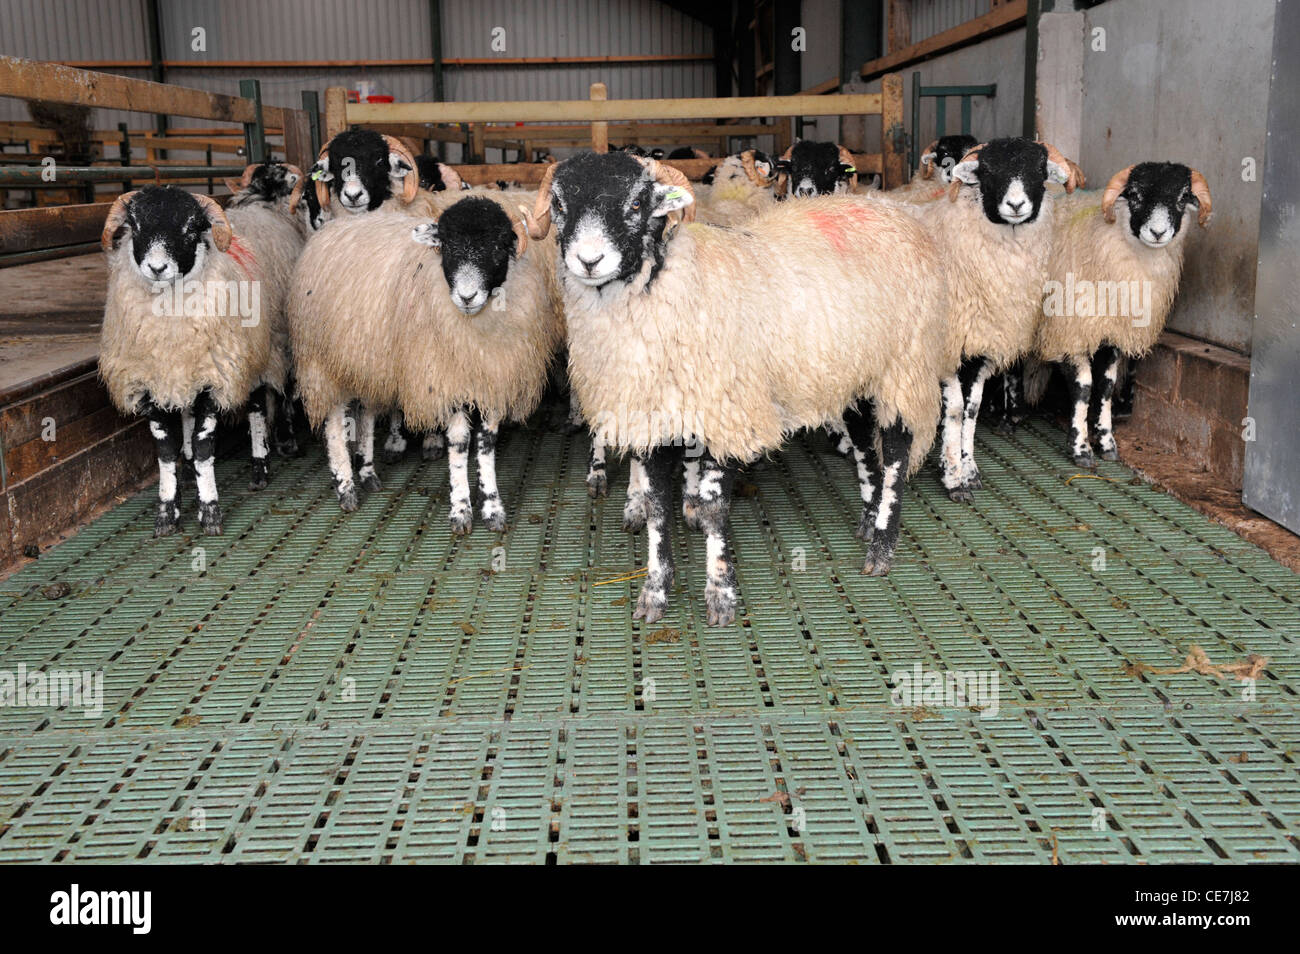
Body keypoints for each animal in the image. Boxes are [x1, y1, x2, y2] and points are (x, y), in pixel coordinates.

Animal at [97, 186, 289, 535]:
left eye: (189, 227)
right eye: (136, 225)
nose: (157, 267)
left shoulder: (214, 379)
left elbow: (203, 449)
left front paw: (210, 512)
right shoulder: (151, 384)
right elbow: (165, 453)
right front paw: (167, 511)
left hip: (259, 356)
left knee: (256, 408)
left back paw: (260, 468)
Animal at [288, 192, 561, 532]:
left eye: (498, 247)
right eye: (447, 246)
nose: (467, 297)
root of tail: (332, 229)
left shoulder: (493, 378)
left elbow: (486, 444)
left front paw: (492, 507)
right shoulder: (446, 377)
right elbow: (459, 443)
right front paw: (461, 509)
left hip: (366, 361)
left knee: (365, 414)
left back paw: (368, 473)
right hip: (324, 360)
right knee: (335, 422)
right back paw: (346, 487)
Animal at [522, 152, 952, 625]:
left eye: (636, 203)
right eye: (559, 204)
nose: (589, 260)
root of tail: (890, 210)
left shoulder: (726, 414)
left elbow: (713, 510)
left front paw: (721, 595)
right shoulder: (650, 415)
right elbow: (656, 507)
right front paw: (654, 592)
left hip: (904, 366)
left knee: (895, 452)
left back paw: (881, 547)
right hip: (853, 373)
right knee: (862, 446)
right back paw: (870, 517)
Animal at [894, 138, 1082, 502]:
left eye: (1039, 169)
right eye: (989, 170)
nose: (1016, 204)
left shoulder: (979, 346)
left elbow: (972, 409)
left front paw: (968, 470)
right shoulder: (947, 349)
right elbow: (954, 411)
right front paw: (953, 478)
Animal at [1029, 161, 1213, 466]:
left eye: (1182, 197)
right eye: (1135, 195)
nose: (1158, 233)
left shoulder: (1112, 331)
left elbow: (1105, 386)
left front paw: (1106, 442)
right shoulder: (1071, 329)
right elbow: (1083, 387)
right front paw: (1080, 448)